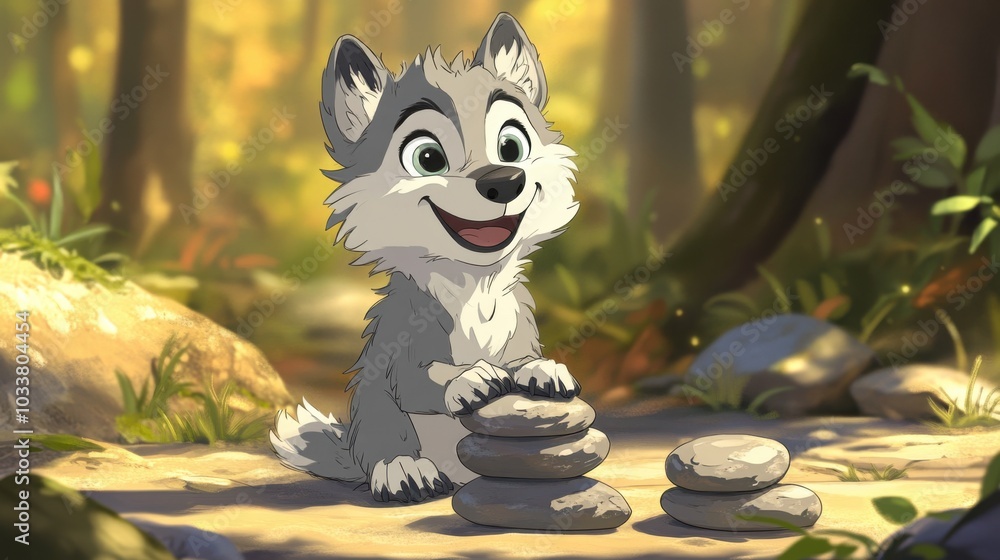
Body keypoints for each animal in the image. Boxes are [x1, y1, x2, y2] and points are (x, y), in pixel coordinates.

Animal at [269, 13, 581, 503]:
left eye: (512, 147)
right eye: (428, 158)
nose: (503, 180)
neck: (475, 289)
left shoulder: (518, 330)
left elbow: (523, 359)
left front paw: (544, 369)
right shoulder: (402, 347)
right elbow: (421, 377)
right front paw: (467, 378)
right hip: (374, 413)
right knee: (385, 440)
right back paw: (404, 470)